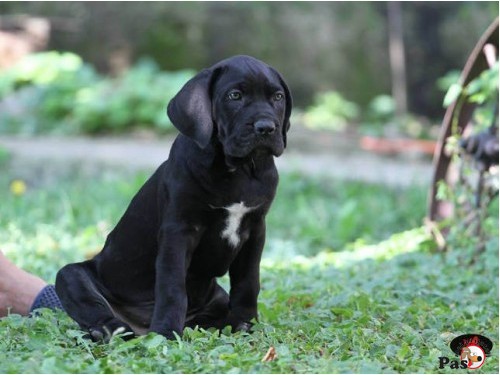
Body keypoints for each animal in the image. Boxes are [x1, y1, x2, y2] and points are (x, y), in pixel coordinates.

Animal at [55, 55, 292, 340]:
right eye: (234, 95)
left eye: (278, 97)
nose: (266, 127)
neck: (238, 169)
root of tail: (140, 325)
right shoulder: (179, 230)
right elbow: (172, 285)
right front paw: (166, 332)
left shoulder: (255, 229)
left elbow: (248, 281)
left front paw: (246, 323)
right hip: (72, 276)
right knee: (93, 303)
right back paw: (110, 330)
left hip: (215, 297)